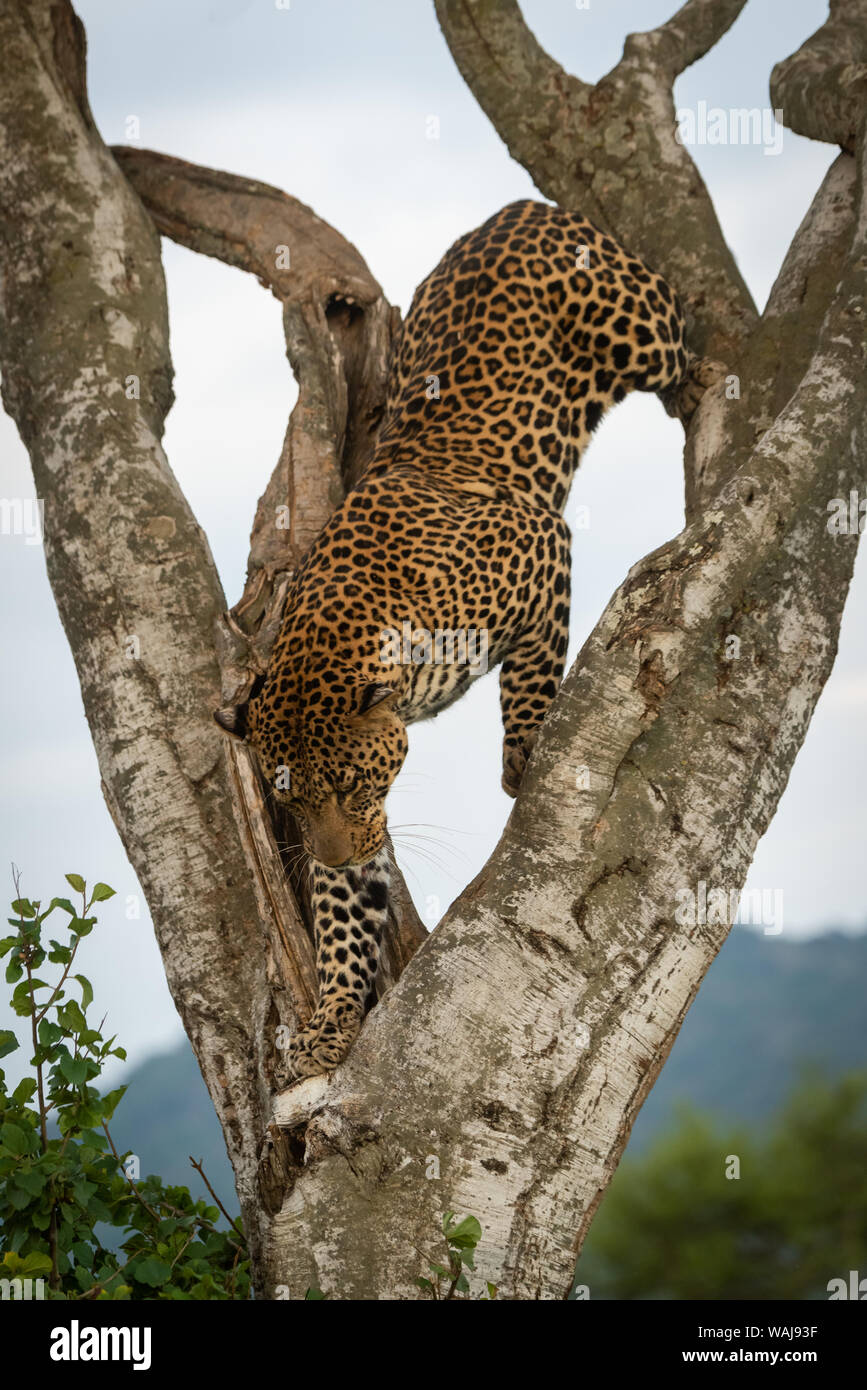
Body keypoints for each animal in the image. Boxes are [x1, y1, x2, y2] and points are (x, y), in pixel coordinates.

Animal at [216, 198, 691, 1080]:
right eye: (289, 799)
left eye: (349, 783)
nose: (333, 853)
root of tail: (513, 210)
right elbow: (342, 918)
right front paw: (330, 1024)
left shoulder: (541, 549)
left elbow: (529, 681)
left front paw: (522, 760)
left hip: (642, 331)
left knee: (680, 330)